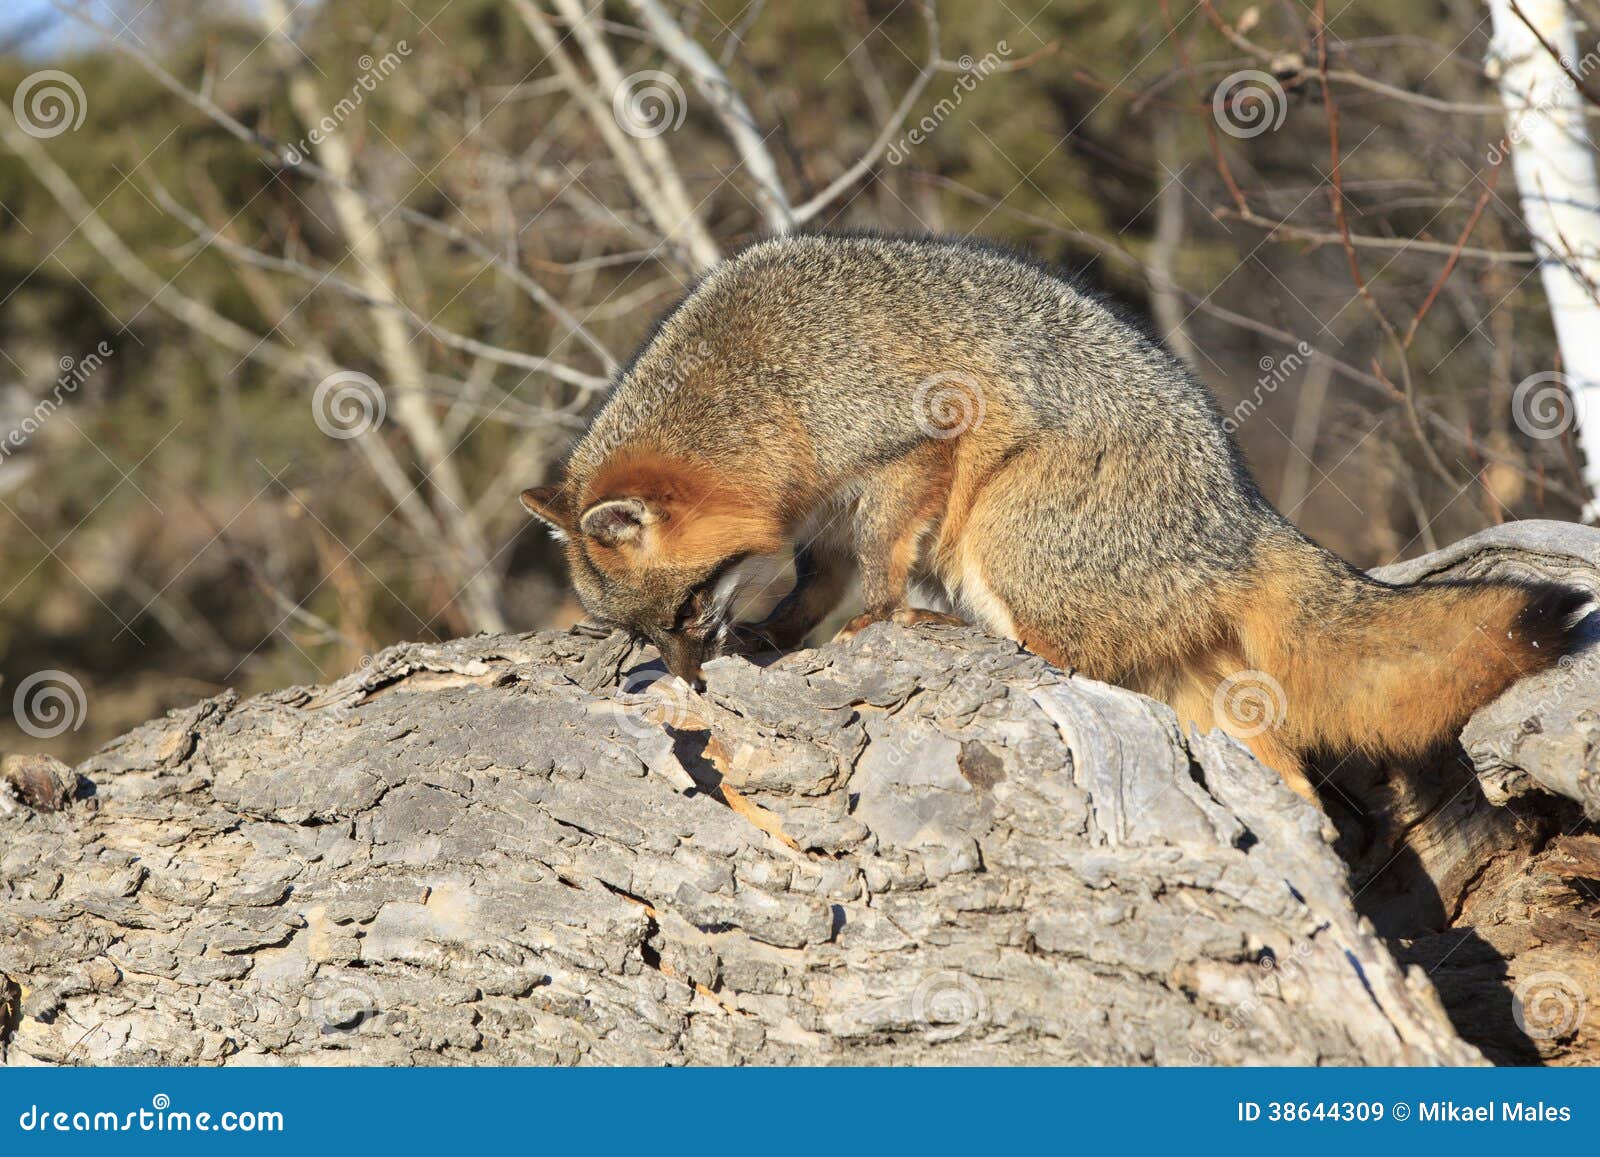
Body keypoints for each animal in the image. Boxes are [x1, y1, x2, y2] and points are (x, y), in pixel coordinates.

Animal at [519, 232, 1587, 800]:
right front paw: (782, 637)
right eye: (646, 633)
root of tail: (1246, 509)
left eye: (687, 611)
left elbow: (876, 566)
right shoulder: (820, 513)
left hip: (1002, 539)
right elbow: (818, 579)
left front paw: (866, 621)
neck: (762, 386)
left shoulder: (911, 453)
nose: (693, 683)